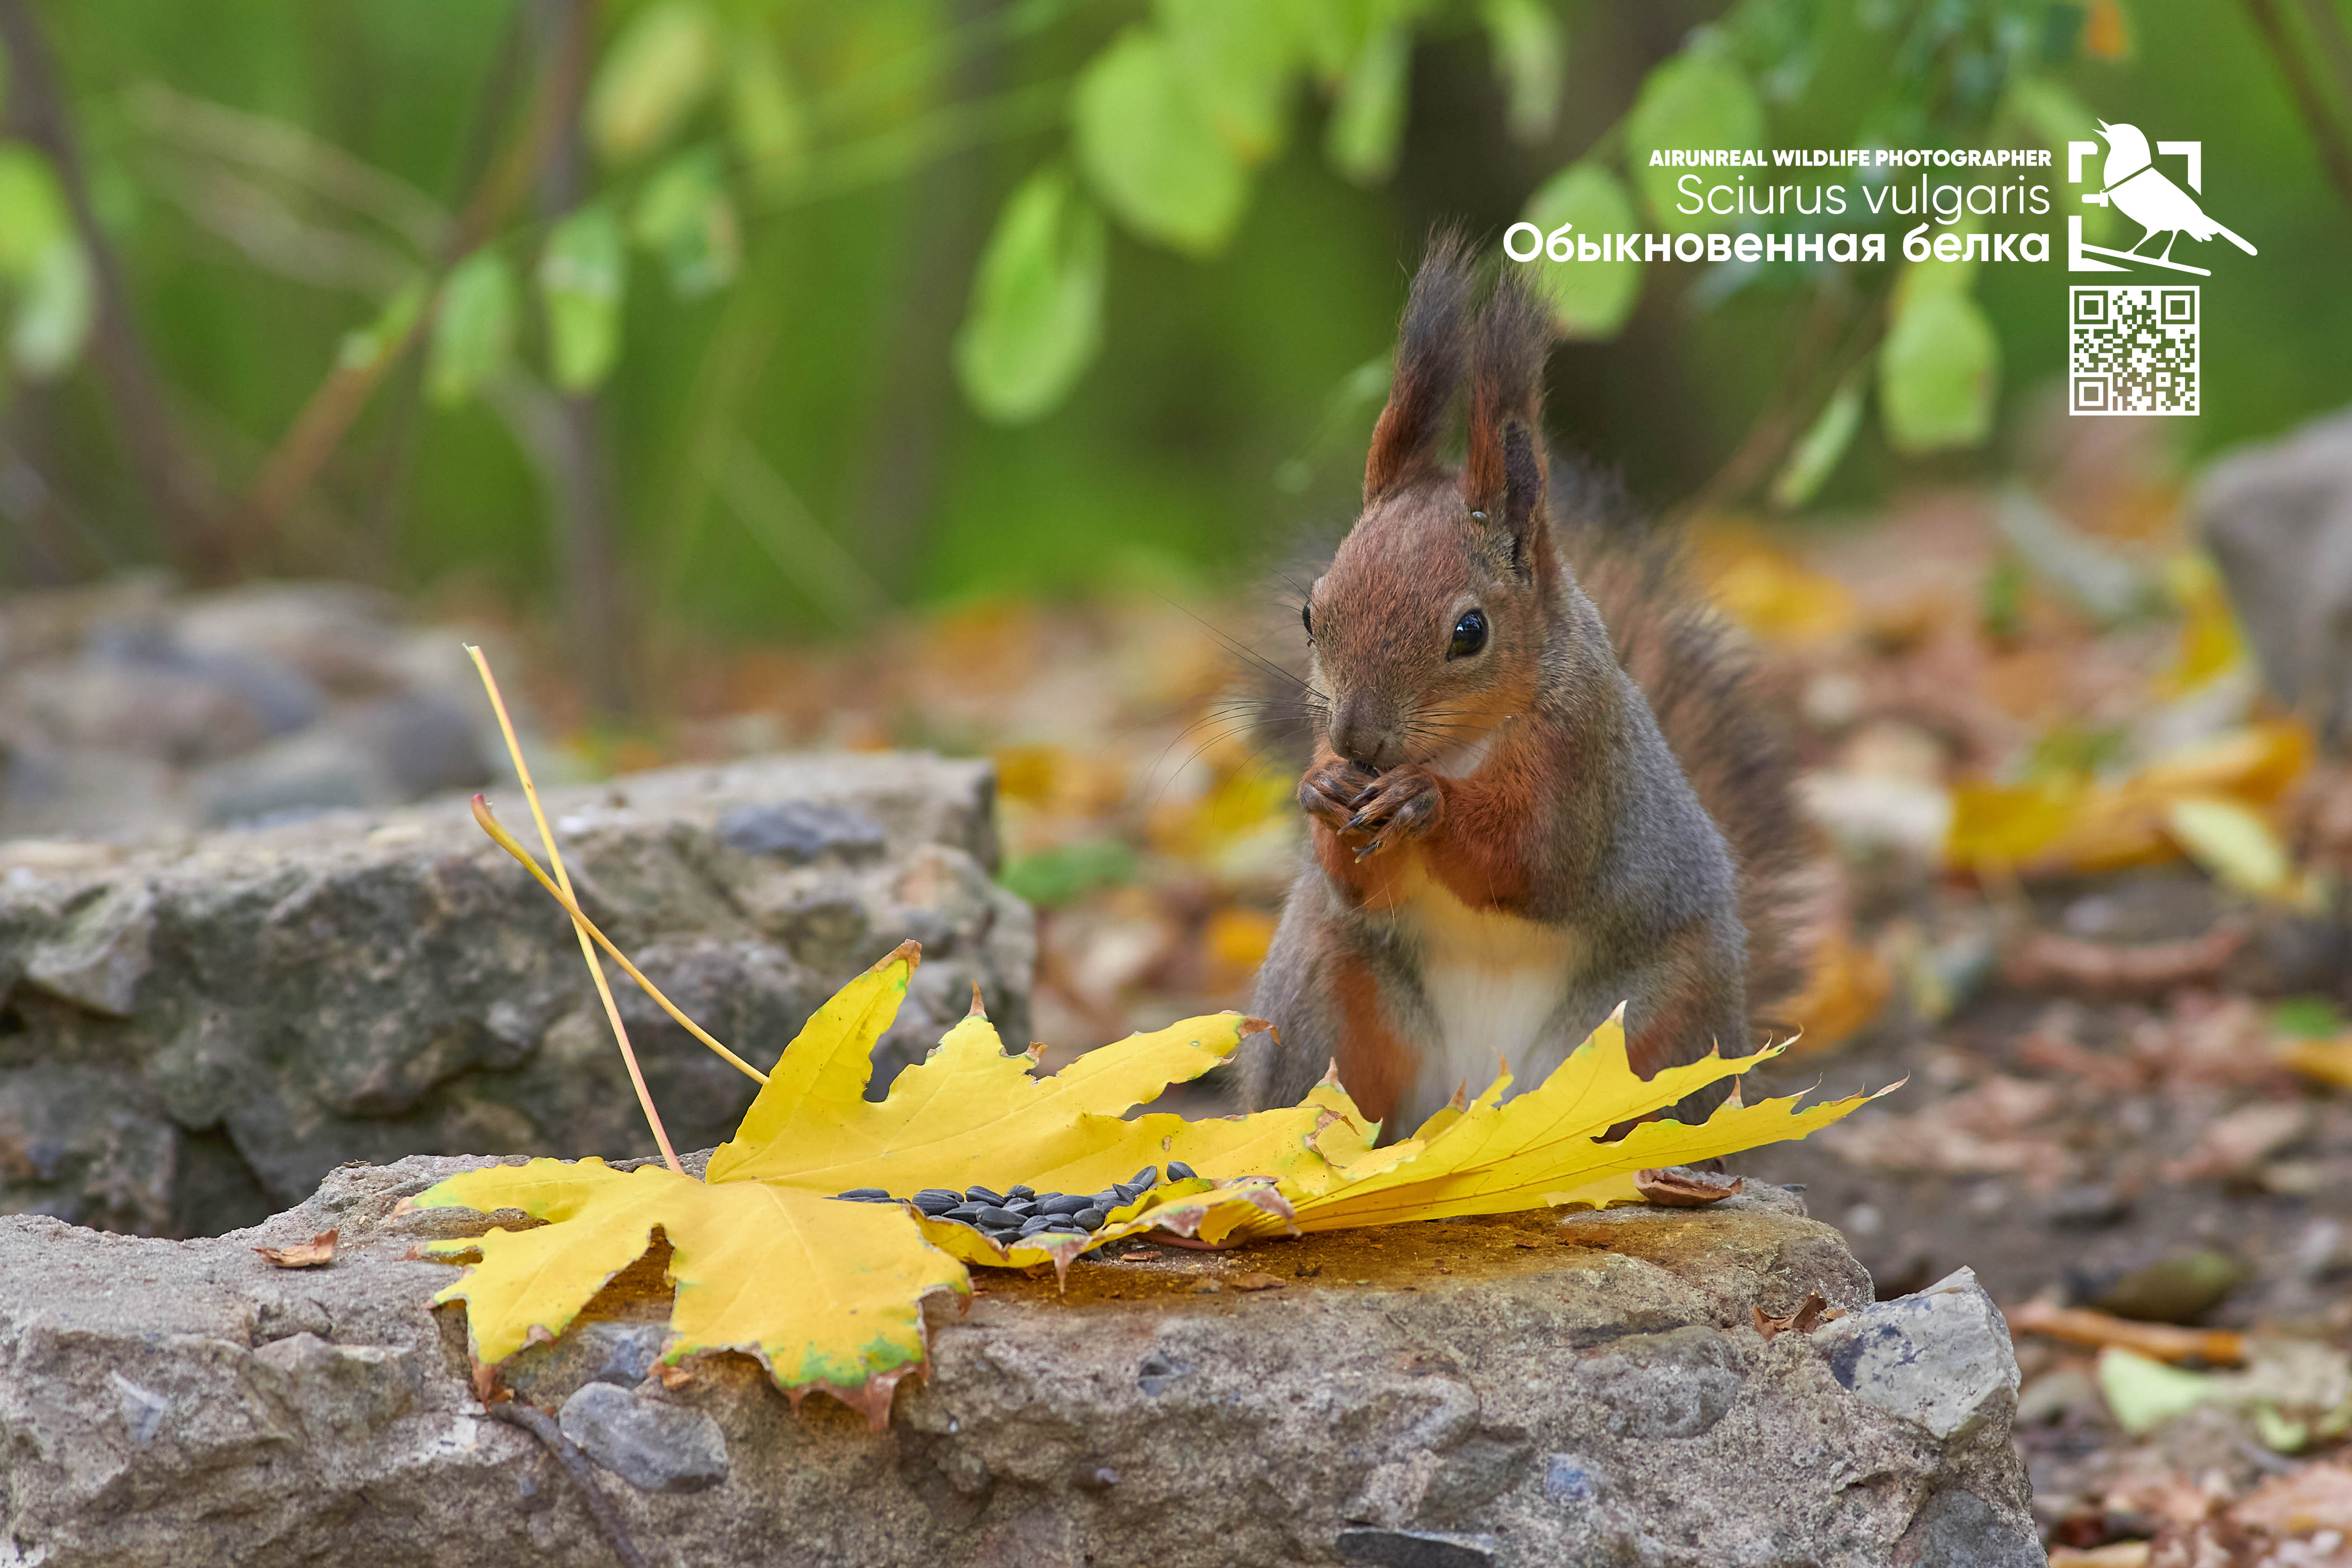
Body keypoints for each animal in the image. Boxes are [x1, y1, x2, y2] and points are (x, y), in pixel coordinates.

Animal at [1242, 233, 1806, 1133]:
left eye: (1470, 632)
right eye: (1309, 612)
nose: (1355, 739)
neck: (1460, 746)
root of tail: (1476, 1099)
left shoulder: (1583, 763)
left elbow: (1532, 860)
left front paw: (1425, 803)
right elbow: (1360, 884)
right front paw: (1323, 788)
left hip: (1659, 1024)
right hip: (1325, 985)